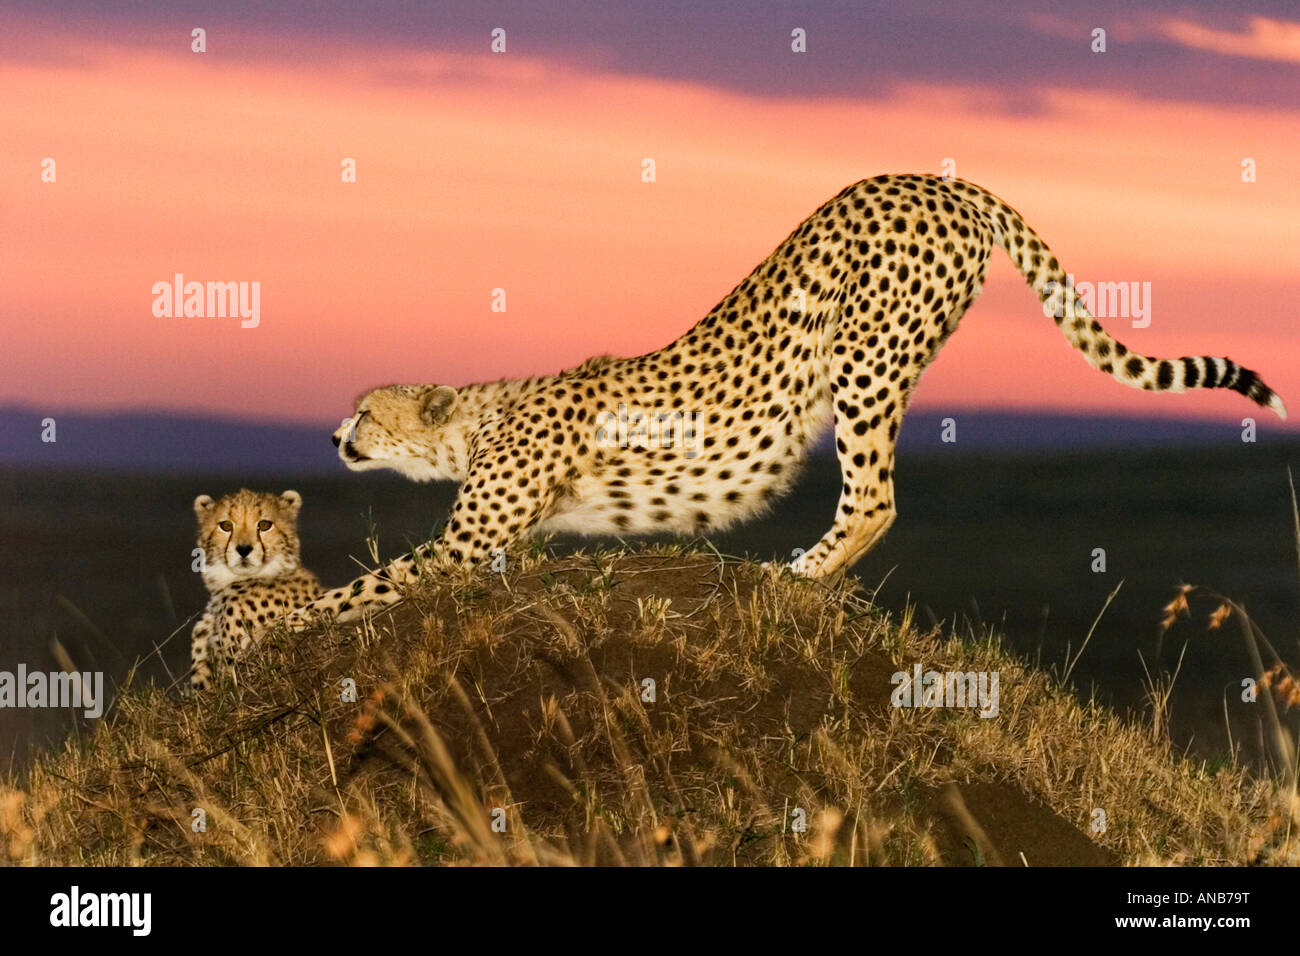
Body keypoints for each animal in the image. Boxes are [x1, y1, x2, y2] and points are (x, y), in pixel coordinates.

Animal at [289, 173, 1285, 628]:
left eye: (365, 412)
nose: (334, 436)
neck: (478, 417)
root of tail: (942, 178)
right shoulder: (501, 543)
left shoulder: (468, 543)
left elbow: (371, 583)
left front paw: (281, 626)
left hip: (866, 357)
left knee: (874, 496)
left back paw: (799, 574)